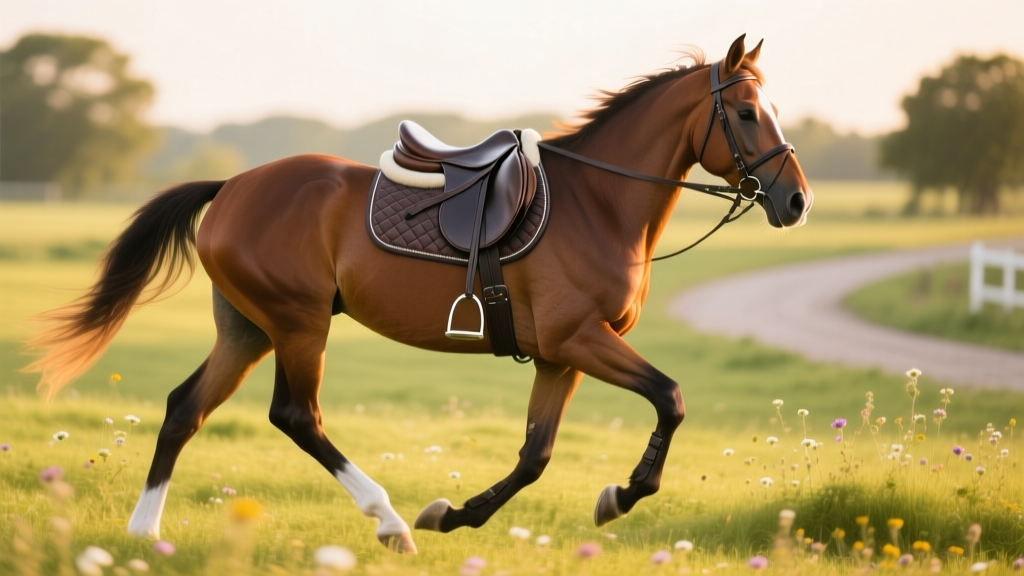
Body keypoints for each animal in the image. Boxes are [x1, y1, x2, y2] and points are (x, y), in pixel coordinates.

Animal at [25, 34, 812, 554]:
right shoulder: (581, 340)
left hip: (246, 329)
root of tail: (233, 186)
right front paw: (618, 496)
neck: (598, 203)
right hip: (298, 325)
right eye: (747, 114)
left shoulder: (560, 357)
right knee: (296, 416)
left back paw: (143, 533)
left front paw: (457, 515)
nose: (797, 201)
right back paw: (390, 522)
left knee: (184, 409)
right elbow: (669, 399)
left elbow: (535, 456)